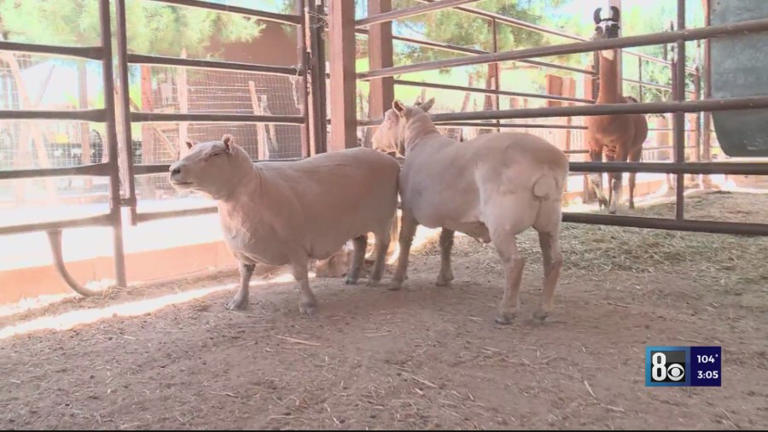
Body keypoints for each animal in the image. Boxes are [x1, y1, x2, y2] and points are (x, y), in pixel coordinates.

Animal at [169, 134, 399, 314]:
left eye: (215, 154)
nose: (173, 170)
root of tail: (388, 159)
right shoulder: (242, 252)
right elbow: (244, 276)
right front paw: (238, 301)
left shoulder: (295, 245)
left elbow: (299, 275)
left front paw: (308, 304)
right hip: (354, 221)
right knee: (361, 243)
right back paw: (352, 277)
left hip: (382, 215)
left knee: (382, 244)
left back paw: (374, 278)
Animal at [372, 99, 569, 324]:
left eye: (388, 119)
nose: (373, 141)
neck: (420, 139)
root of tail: (546, 165)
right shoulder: (450, 214)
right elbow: (446, 242)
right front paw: (444, 277)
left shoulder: (408, 207)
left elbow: (405, 242)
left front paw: (396, 281)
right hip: (550, 217)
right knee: (554, 260)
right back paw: (543, 310)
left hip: (501, 220)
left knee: (515, 262)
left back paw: (506, 312)